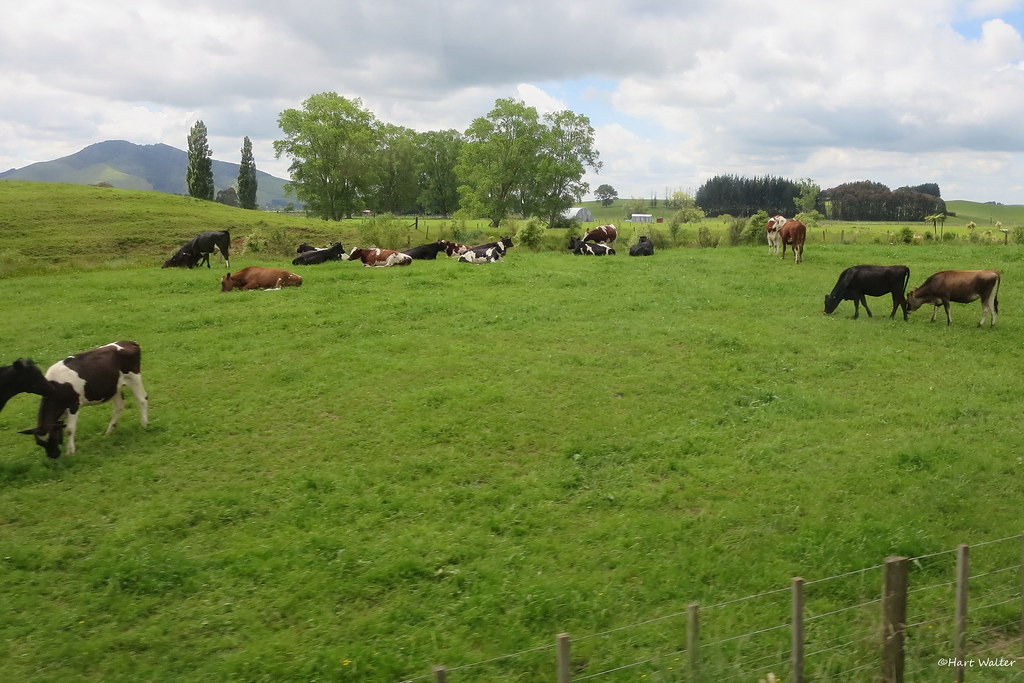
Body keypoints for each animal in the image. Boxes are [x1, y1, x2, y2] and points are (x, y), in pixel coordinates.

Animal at [19, 341, 148, 458]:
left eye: (52, 438)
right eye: (39, 443)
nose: (53, 456)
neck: (55, 387)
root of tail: (129, 342)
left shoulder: (74, 405)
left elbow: (70, 429)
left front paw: (70, 451)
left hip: (134, 377)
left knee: (142, 399)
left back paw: (144, 424)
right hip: (114, 387)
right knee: (119, 406)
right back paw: (110, 430)